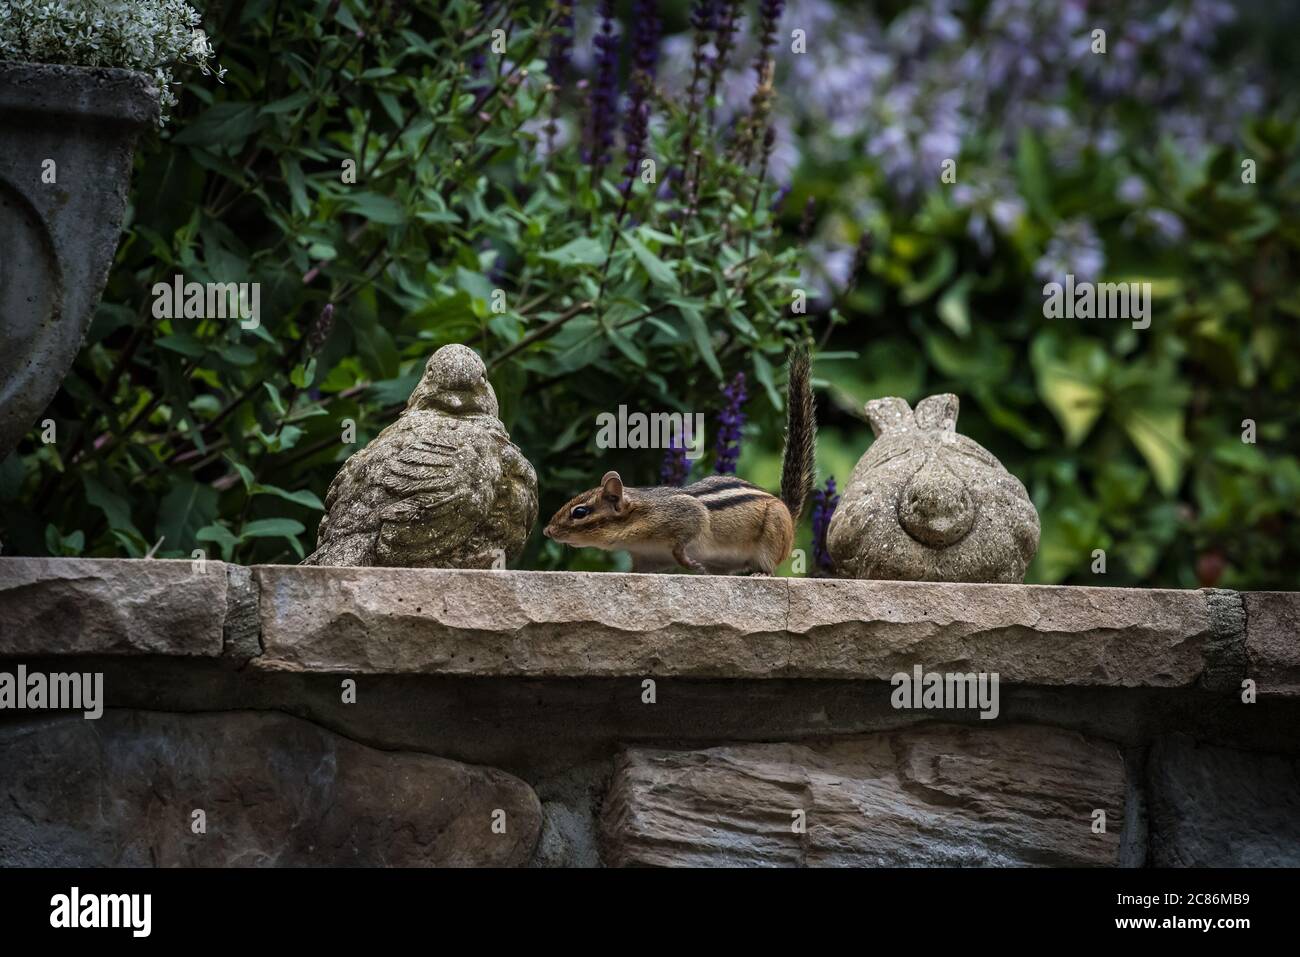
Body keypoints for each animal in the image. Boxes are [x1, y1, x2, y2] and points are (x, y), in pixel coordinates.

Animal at [543, 348, 816, 574]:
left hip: (772, 535)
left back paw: (760, 573)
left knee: (769, 565)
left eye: (580, 512)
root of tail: (787, 511)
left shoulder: (688, 515)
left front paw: (688, 562)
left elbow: (685, 539)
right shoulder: (647, 558)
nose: (547, 531)